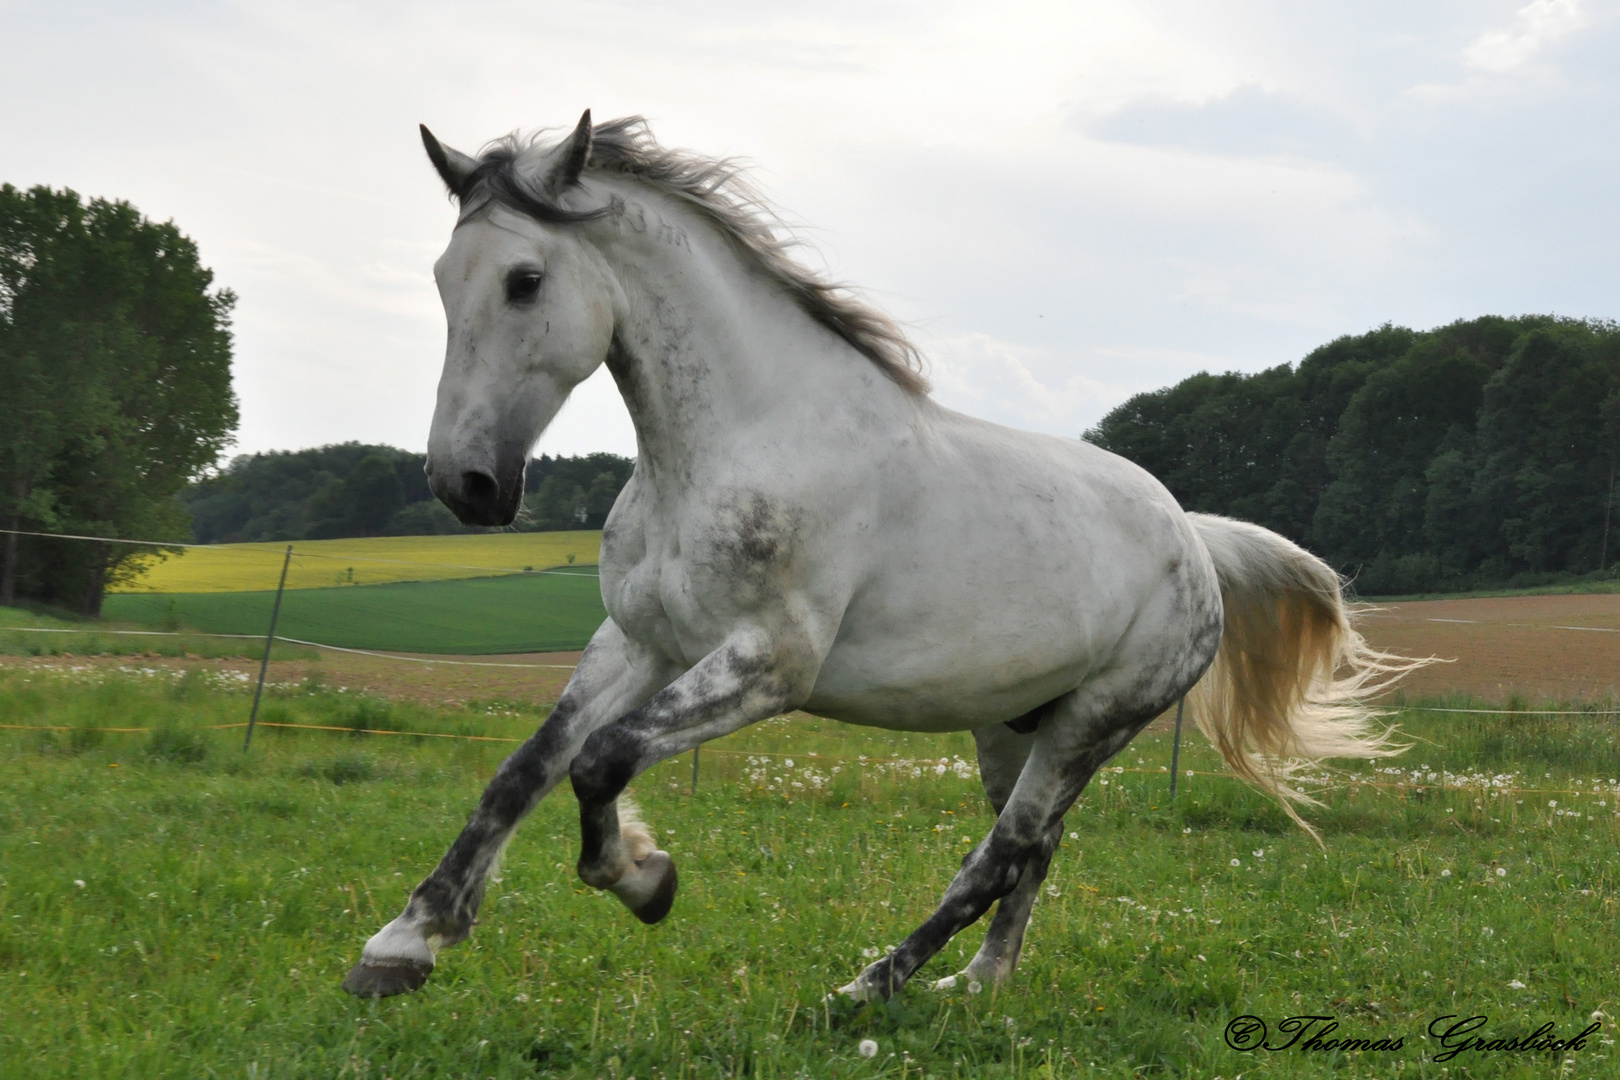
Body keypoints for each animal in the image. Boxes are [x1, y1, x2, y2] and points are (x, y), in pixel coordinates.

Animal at [342, 111, 1419, 1001]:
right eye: (441, 279)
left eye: (525, 281)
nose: (468, 485)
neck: (735, 443)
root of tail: (1194, 537)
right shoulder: (638, 643)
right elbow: (526, 770)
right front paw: (403, 945)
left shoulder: (769, 664)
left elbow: (601, 762)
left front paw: (644, 879)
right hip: (1012, 726)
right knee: (1032, 851)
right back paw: (978, 986)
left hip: (1096, 722)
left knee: (1001, 854)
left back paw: (871, 987)